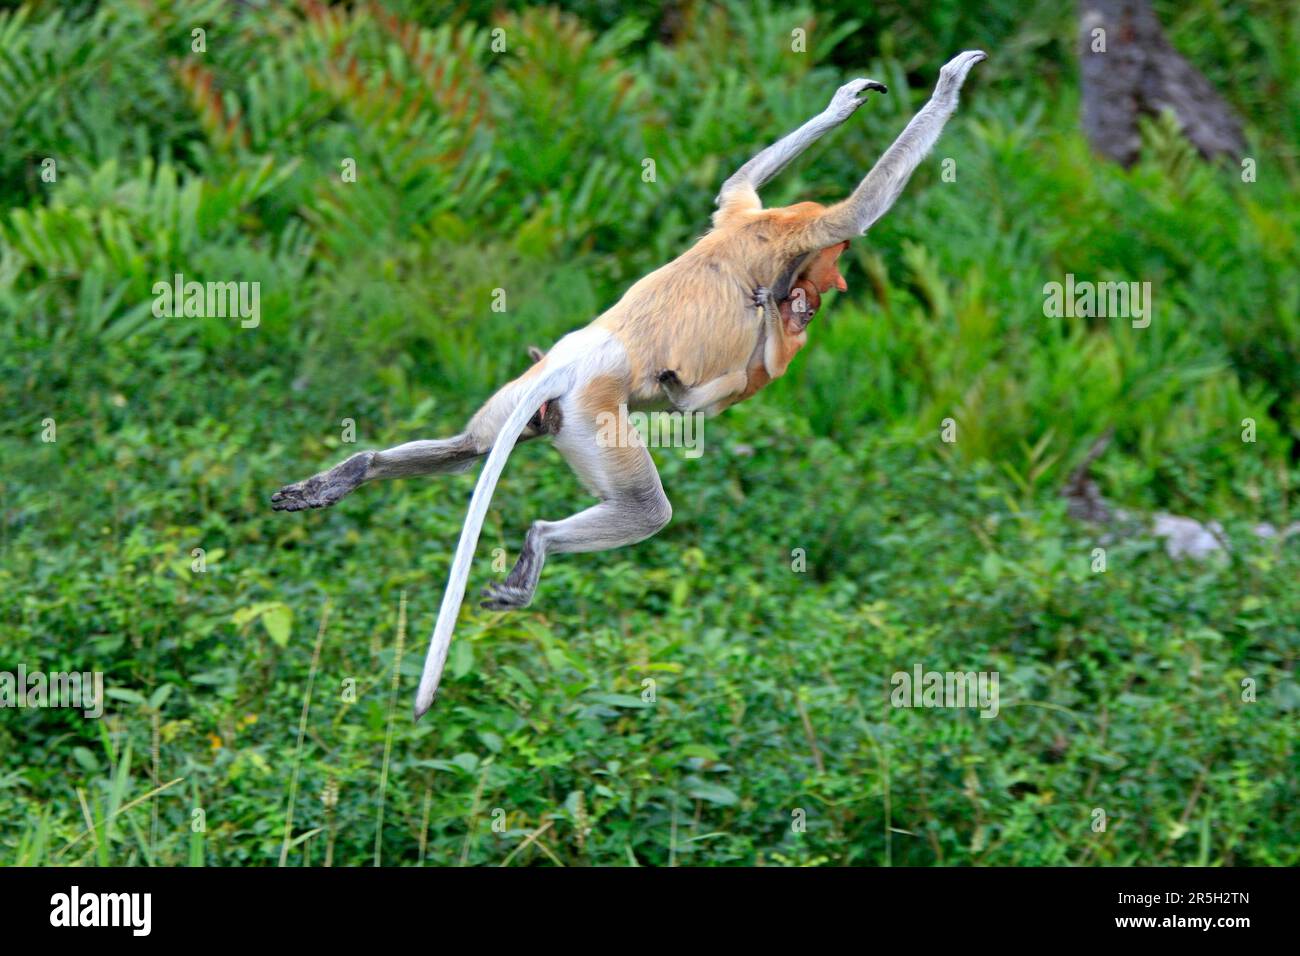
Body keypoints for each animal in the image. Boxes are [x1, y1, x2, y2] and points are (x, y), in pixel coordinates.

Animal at [270, 50, 987, 718]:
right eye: (834, 259)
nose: (832, 285)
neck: (770, 235)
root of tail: (575, 361)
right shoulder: (798, 231)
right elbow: (859, 210)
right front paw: (946, 85)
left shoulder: (743, 213)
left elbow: (735, 182)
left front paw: (844, 102)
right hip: (596, 412)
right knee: (645, 507)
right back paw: (535, 549)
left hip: (526, 396)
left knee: (470, 449)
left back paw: (343, 477)